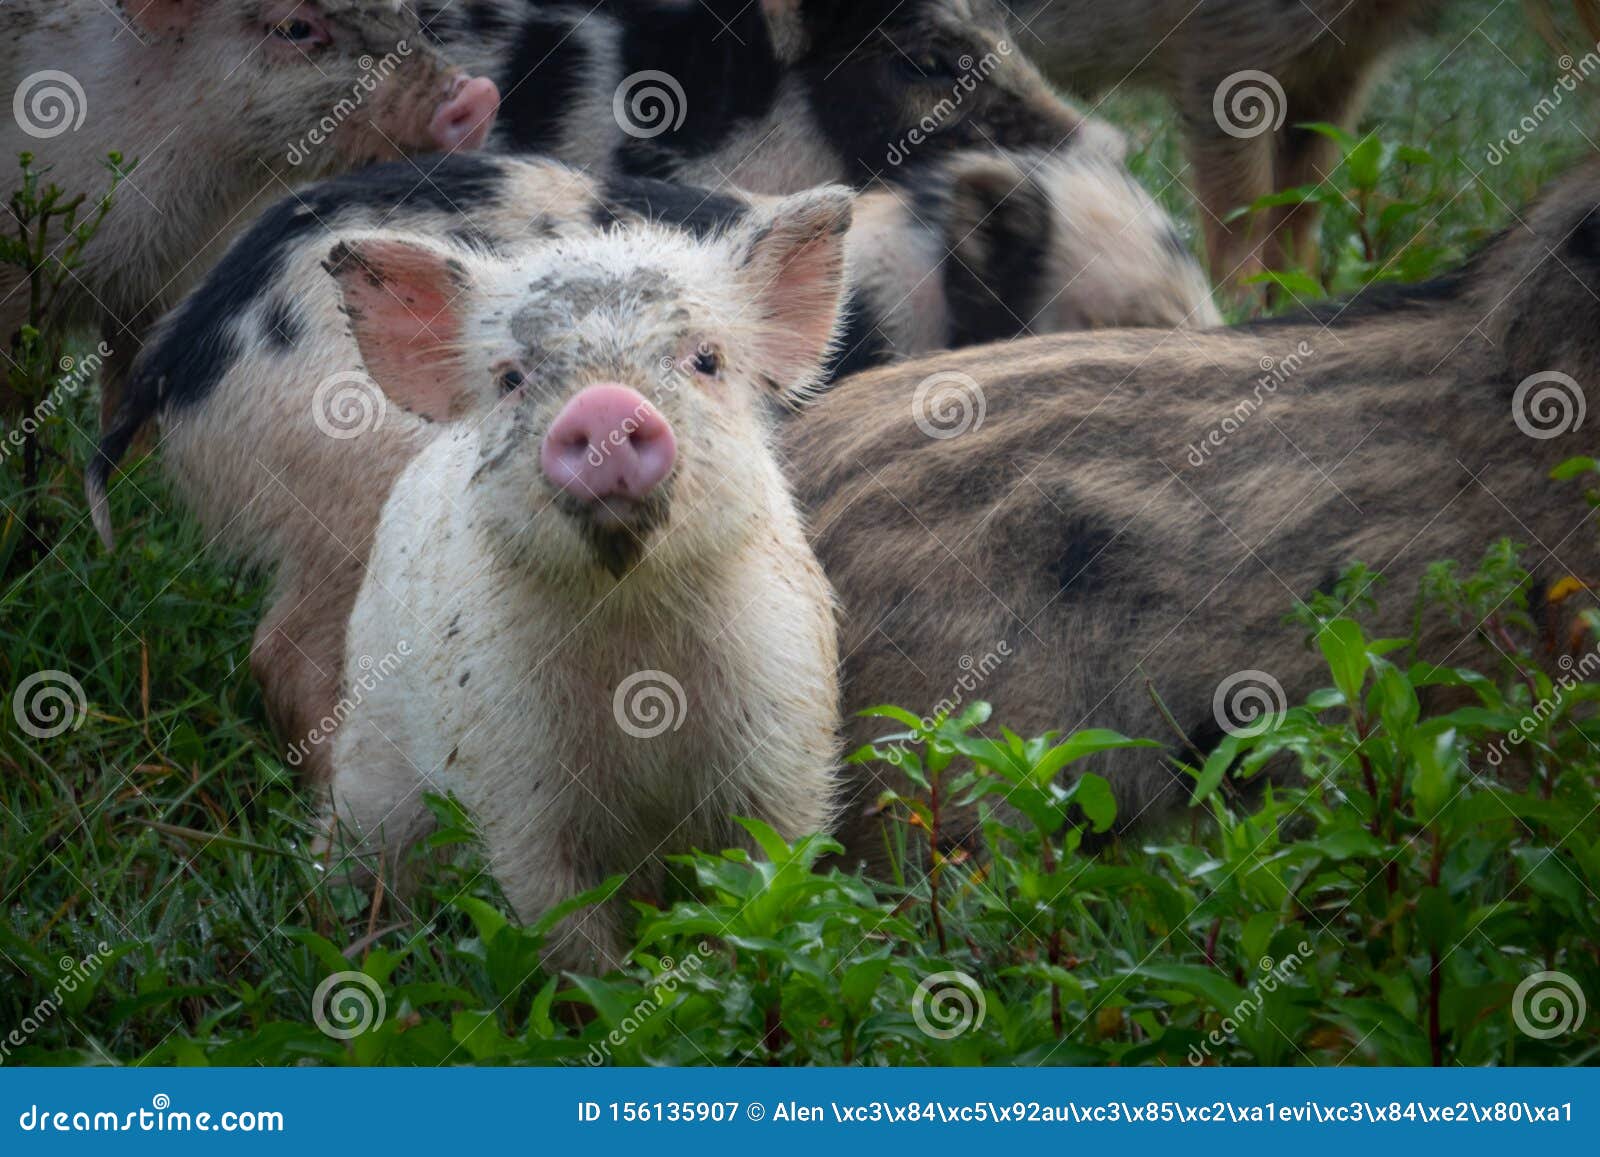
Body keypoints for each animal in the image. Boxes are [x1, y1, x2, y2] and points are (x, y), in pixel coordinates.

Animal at [322, 194, 850, 967]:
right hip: (370, 762)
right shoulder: (514, 785)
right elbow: (565, 931)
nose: (602, 405)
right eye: (510, 379)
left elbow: (758, 889)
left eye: (707, 359)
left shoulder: (786, 739)